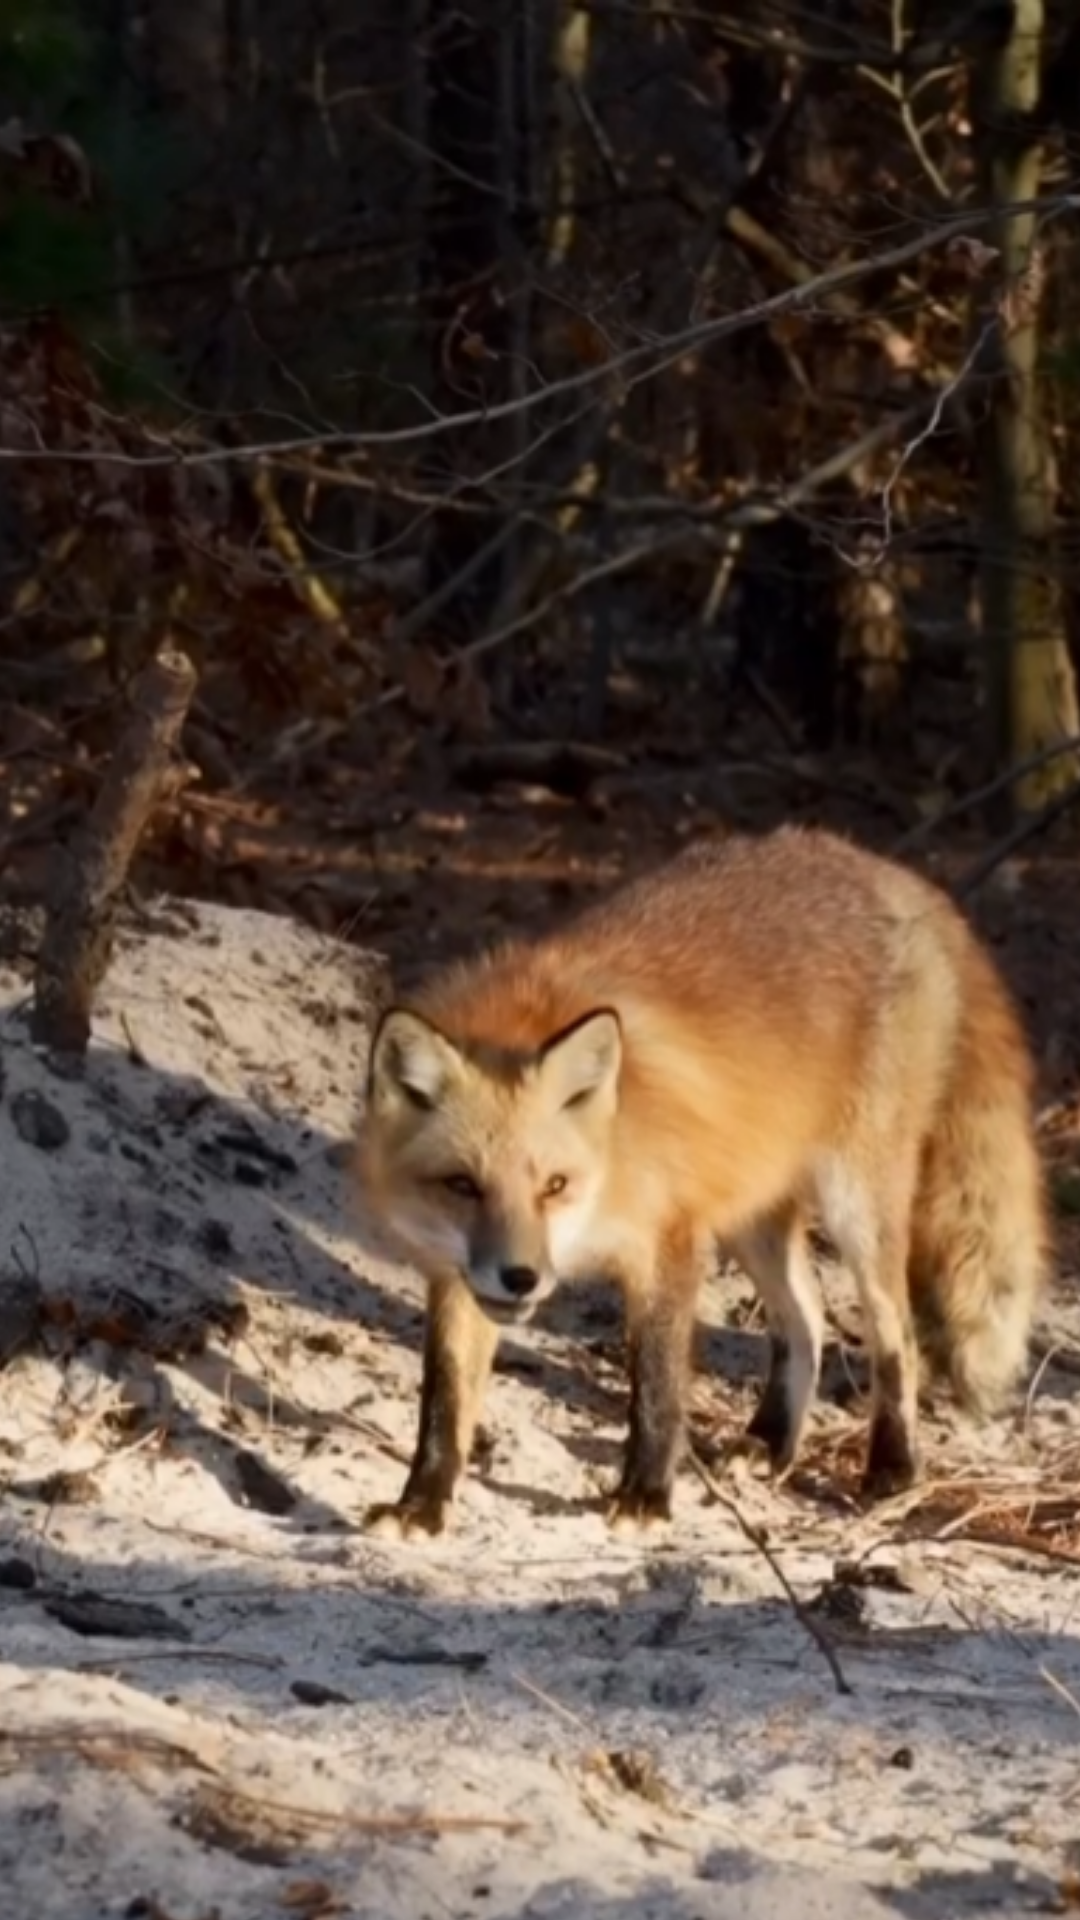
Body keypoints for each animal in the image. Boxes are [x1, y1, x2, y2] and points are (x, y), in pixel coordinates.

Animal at [355, 824, 1047, 1541]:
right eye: (462, 1186)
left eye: (554, 1185)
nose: (520, 1278)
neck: (612, 1154)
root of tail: (881, 866)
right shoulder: (459, 1278)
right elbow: (444, 1399)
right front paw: (422, 1503)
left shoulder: (670, 1242)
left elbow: (657, 1388)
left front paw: (646, 1496)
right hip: (752, 1212)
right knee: (808, 1319)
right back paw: (771, 1442)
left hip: (855, 1202)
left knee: (897, 1337)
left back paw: (893, 1465)